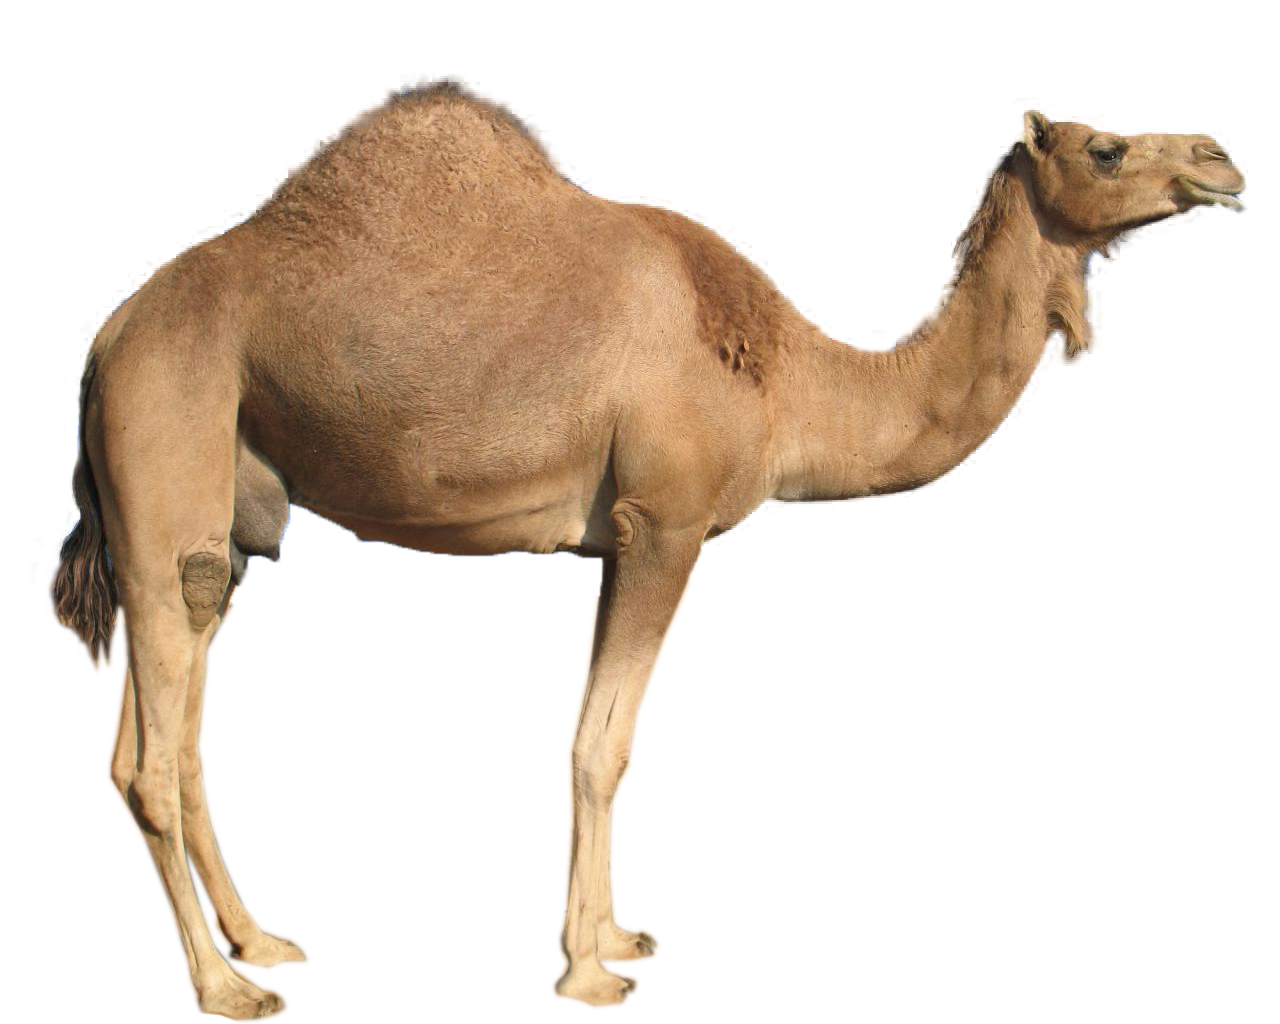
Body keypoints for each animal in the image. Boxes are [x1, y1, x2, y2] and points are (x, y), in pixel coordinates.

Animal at [47, 84, 1246, 1015]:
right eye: (1103, 145)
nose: (1228, 152)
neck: (796, 378)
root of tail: (104, 335)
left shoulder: (625, 537)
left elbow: (601, 733)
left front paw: (613, 937)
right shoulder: (664, 523)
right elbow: (601, 744)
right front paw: (589, 971)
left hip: (219, 500)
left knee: (169, 722)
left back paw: (259, 942)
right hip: (171, 428)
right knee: (155, 749)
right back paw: (221, 985)